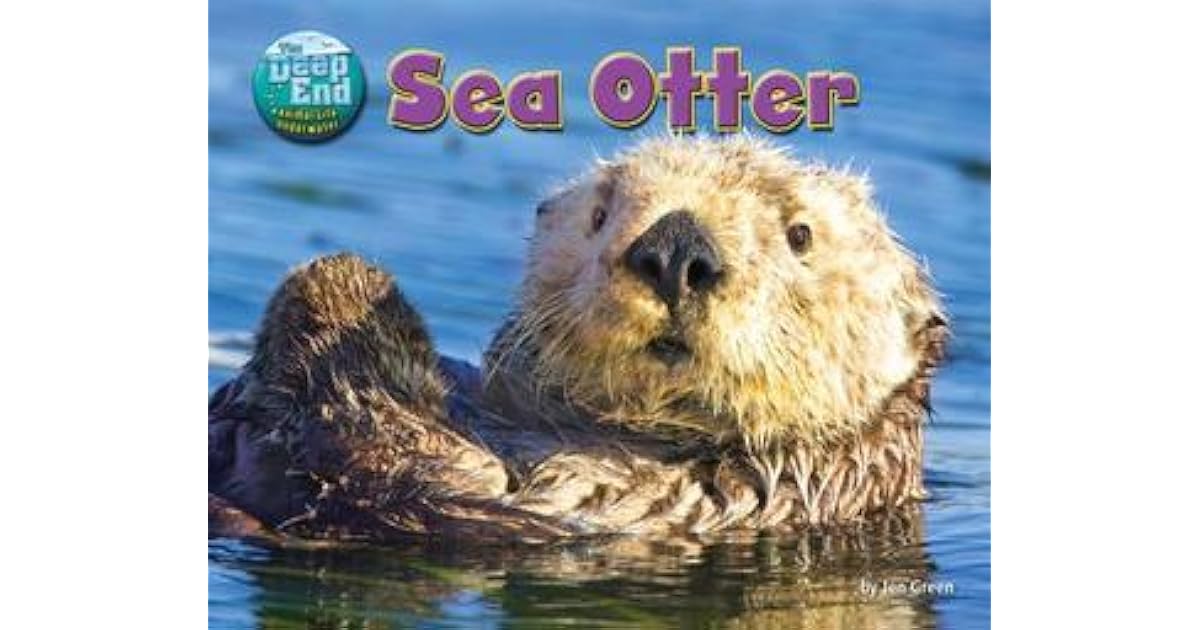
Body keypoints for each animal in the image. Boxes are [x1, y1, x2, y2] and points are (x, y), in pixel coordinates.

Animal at [209, 135, 948, 543]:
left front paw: (346, 280)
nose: (675, 250)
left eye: (800, 234)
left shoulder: (642, 503)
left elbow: (418, 470)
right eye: (600, 213)